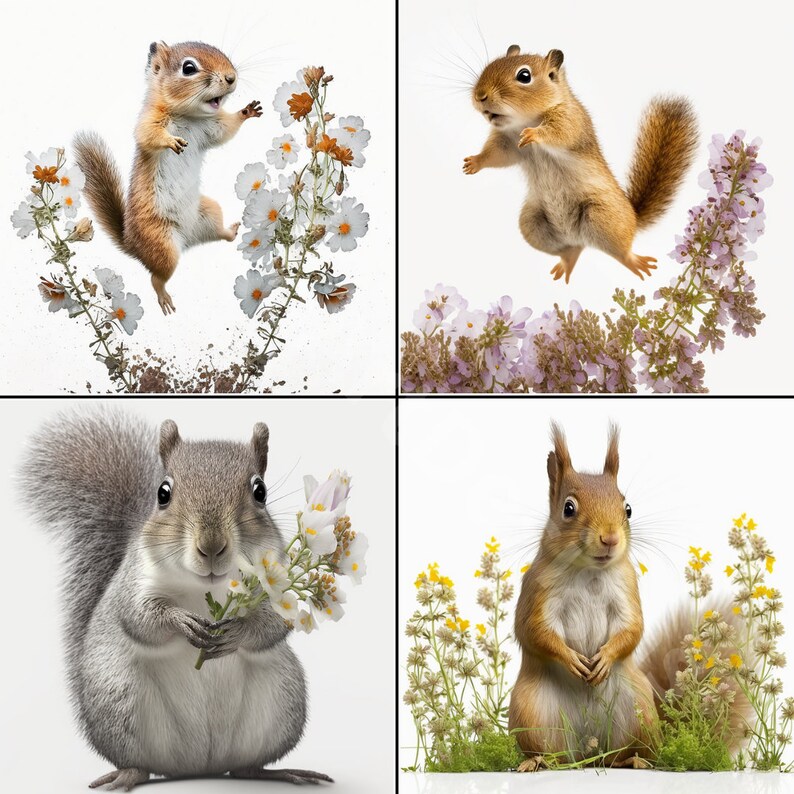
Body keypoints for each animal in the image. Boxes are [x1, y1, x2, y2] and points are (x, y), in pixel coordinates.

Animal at [21, 411, 331, 790]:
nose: (211, 545)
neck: (206, 589)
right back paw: (126, 774)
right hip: (118, 700)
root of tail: (199, 766)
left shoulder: (276, 577)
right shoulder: (135, 579)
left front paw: (236, 633)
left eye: (260, 492)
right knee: (139, 763)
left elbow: (273, 623)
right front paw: (180, 621)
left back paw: (280, 772)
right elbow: (139, 617)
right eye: (163, 493)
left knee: (248, 767)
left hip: (282, 700)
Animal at [73, 41, 263, 315]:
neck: (188, 116)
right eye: (188, 68)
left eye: (219, 51)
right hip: (162, 244)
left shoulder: (211, 128)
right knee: (156, 277)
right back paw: (163, 296)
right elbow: (148, 134)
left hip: (209, 211)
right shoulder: (150, 118)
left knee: (218, 234)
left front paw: (246, 111)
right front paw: (171, 141)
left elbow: (225, 131)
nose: (231, 78)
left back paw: (231, 231)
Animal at [463, 46, 699, 283]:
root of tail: (633, 217)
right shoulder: (508, 143)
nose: (479, 96)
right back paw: (568, 260)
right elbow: (497, 154)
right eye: (492, 64)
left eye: (524, 76)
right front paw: (475, 161)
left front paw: (534, 134)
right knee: (570, 250)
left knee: (620, 252)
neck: (525, 120)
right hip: (532, 224)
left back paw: (634, 262)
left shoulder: (571, 120)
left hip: (604, 218)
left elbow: (559, 133)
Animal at [508, 423, 746, 771]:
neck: (589, 571)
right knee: (550, 752)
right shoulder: (538, 590)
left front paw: (605, 658)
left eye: (628, 508)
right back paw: (535, 762)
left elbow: (632, 629)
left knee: (624, 753)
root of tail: (589, 750)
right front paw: (573, 660)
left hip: (639, 708)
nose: (610, 538)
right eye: (568, 508)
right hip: (530, 710)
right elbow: (534, 631)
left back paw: (635, 760)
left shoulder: (626, 590)